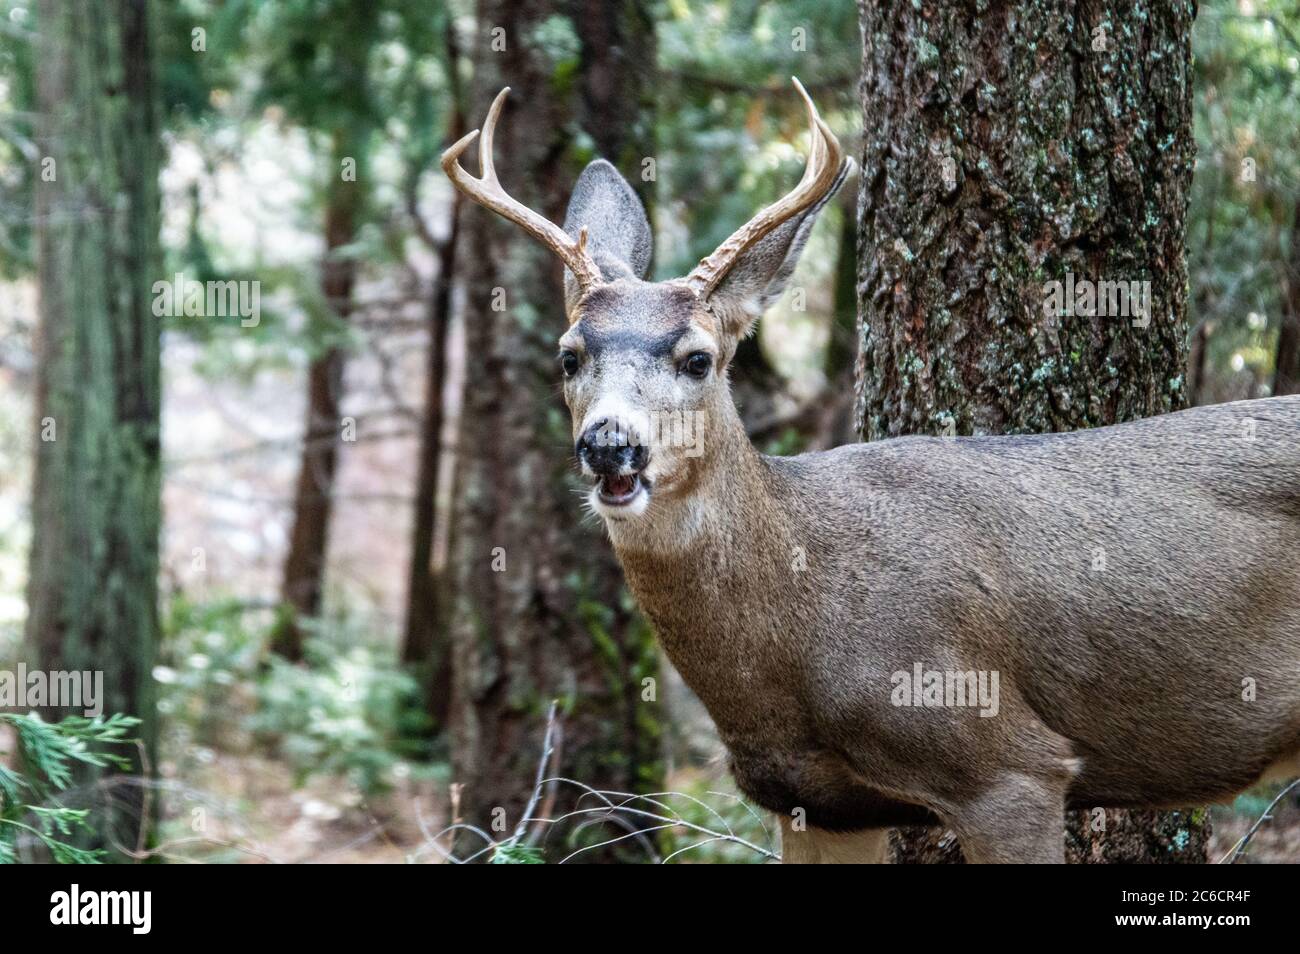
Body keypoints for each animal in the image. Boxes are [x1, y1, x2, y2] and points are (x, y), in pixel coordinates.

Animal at [443, 79, 1300, 863]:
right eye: (569, 356)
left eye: (697, 358)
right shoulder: (816, 803)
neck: (797, 631)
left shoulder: (1007, 762)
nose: (610, 443)